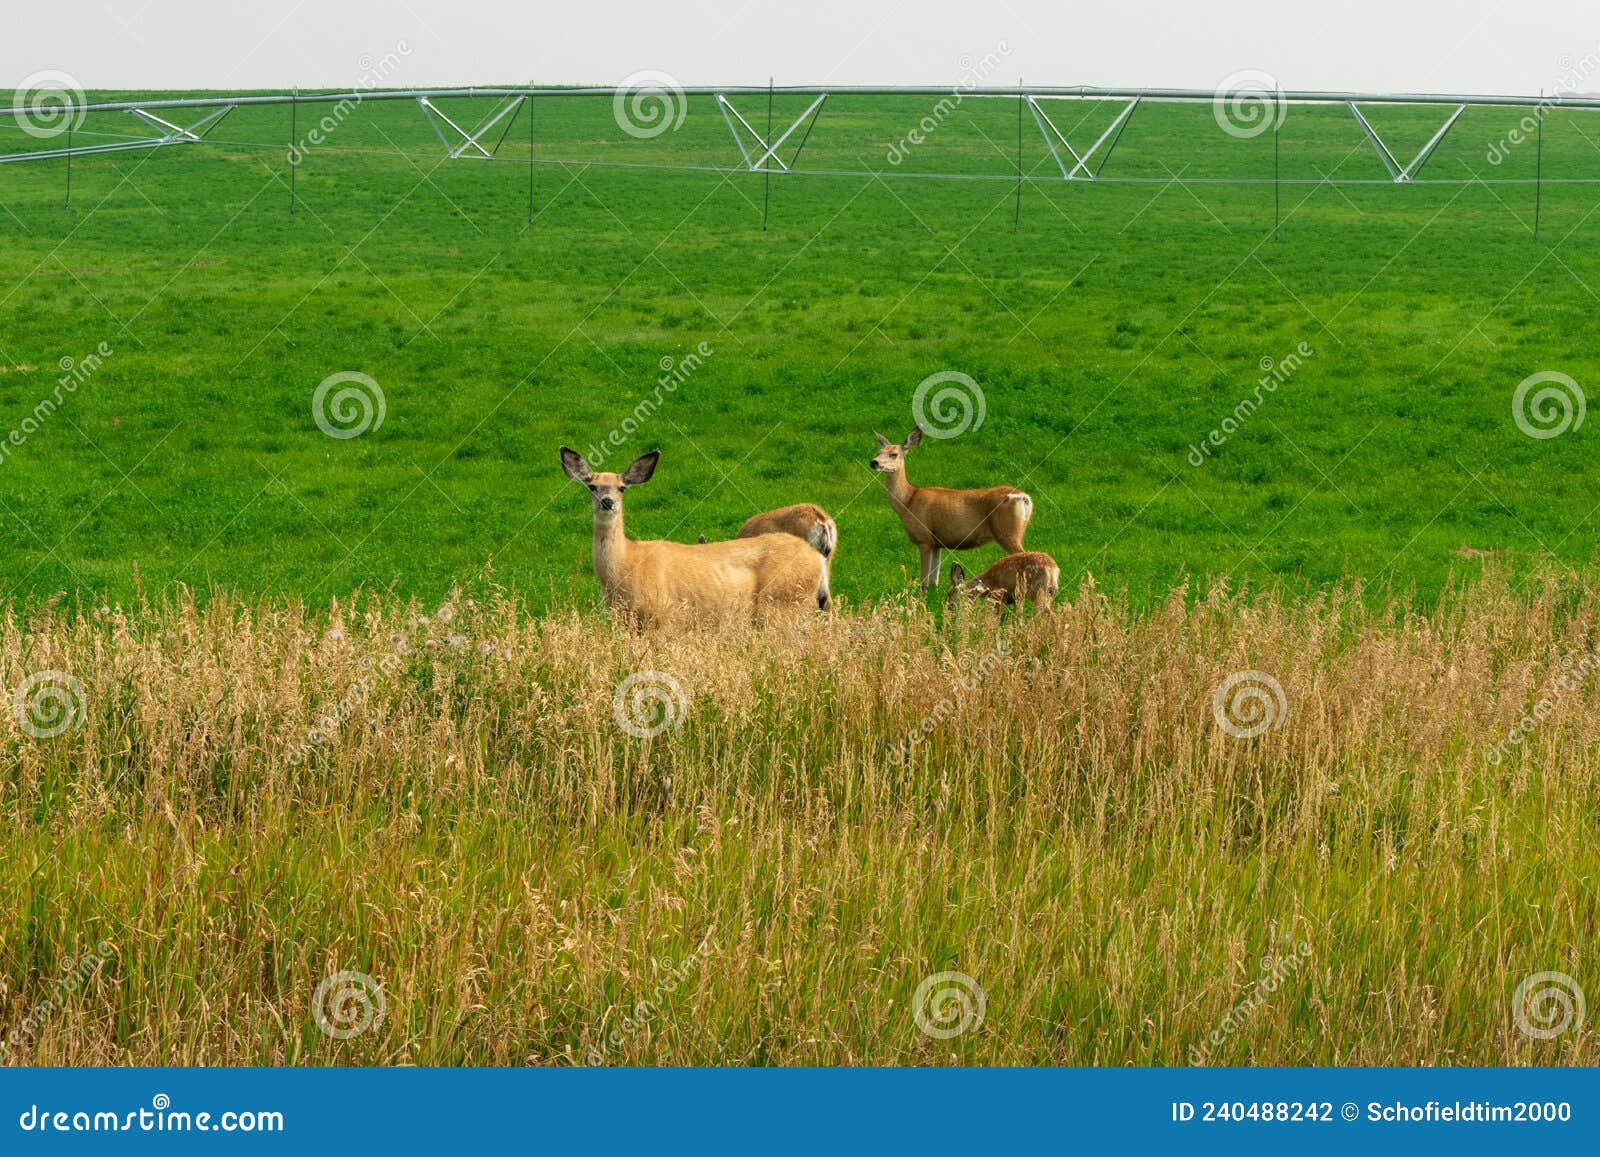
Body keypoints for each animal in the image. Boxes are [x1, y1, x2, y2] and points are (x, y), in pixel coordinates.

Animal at [560, 447, 831, 626]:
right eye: (592, 486)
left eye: (622, 488)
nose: (607, 502)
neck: (624, 567)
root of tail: (816, 559)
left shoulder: (665, 616)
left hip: (783, 605)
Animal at [869, 425, 1033, 588]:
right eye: (878, 452)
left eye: (894, 454)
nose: (874, 462)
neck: (908, 501)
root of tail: (1024, 498)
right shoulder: (937, 543)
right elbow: (934, 582)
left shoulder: (924, 539)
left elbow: (923, 582)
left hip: (1007, 532)